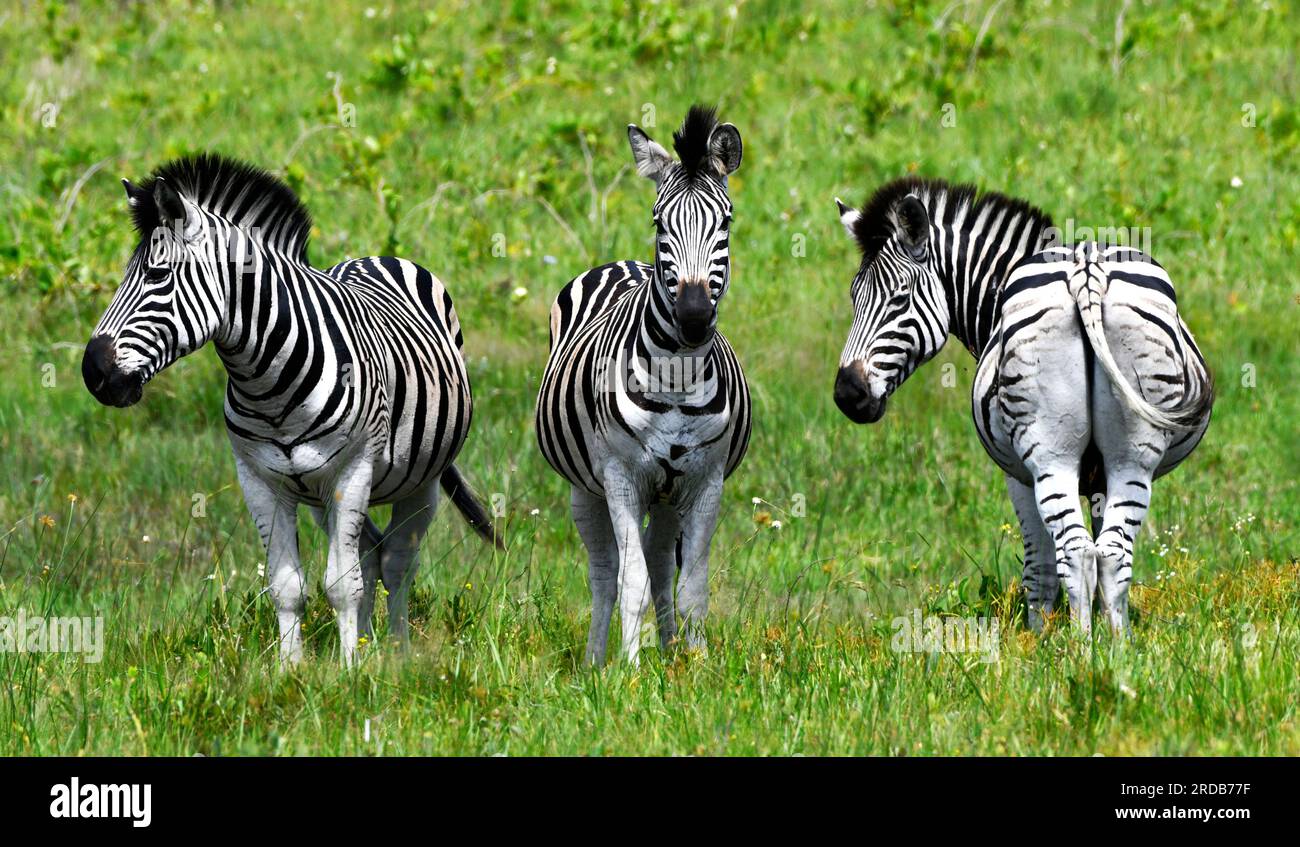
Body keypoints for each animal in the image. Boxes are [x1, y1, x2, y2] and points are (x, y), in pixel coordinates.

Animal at [83, 153, 499, 666]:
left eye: (158, 277)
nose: (93, 372)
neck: (268, 385)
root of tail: (378, 256)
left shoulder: (352, 471)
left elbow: (341, 585)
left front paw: (349, 674)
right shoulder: (260, 480)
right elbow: (287, 587)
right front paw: (292, 673)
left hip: (419, 479)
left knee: (398, 560)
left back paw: (398, 652)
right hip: (321, 498)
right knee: (371, 552)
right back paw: (368, 643)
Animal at [535, 105, 750, 664]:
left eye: (726, 220)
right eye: (659, 222)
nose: (694, 318)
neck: (677, 377)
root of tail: (620, 262)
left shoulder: (705, 482)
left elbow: (691, 587)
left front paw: (696, 665)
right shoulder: (621, 478)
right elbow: (629, 581)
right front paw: (629, 670)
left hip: (669, 494)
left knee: (659, 561)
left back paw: (671, 651)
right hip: (585, 489)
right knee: (605, 572)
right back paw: (596, 660)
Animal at [831, 177, 1212, 633]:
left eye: (900, 299)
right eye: (853, 297)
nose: (847, 394)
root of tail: (1087, 270)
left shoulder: (1019, 476)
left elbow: (1039, 567)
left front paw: (1038, 637)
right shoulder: (1100, 479)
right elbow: (1096, 552)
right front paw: (1098, 628)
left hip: (1050, 456)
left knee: (1075, 552)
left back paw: (1077, 650)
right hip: (1132, 457)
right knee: (1110, 552)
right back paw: (1116, 648)